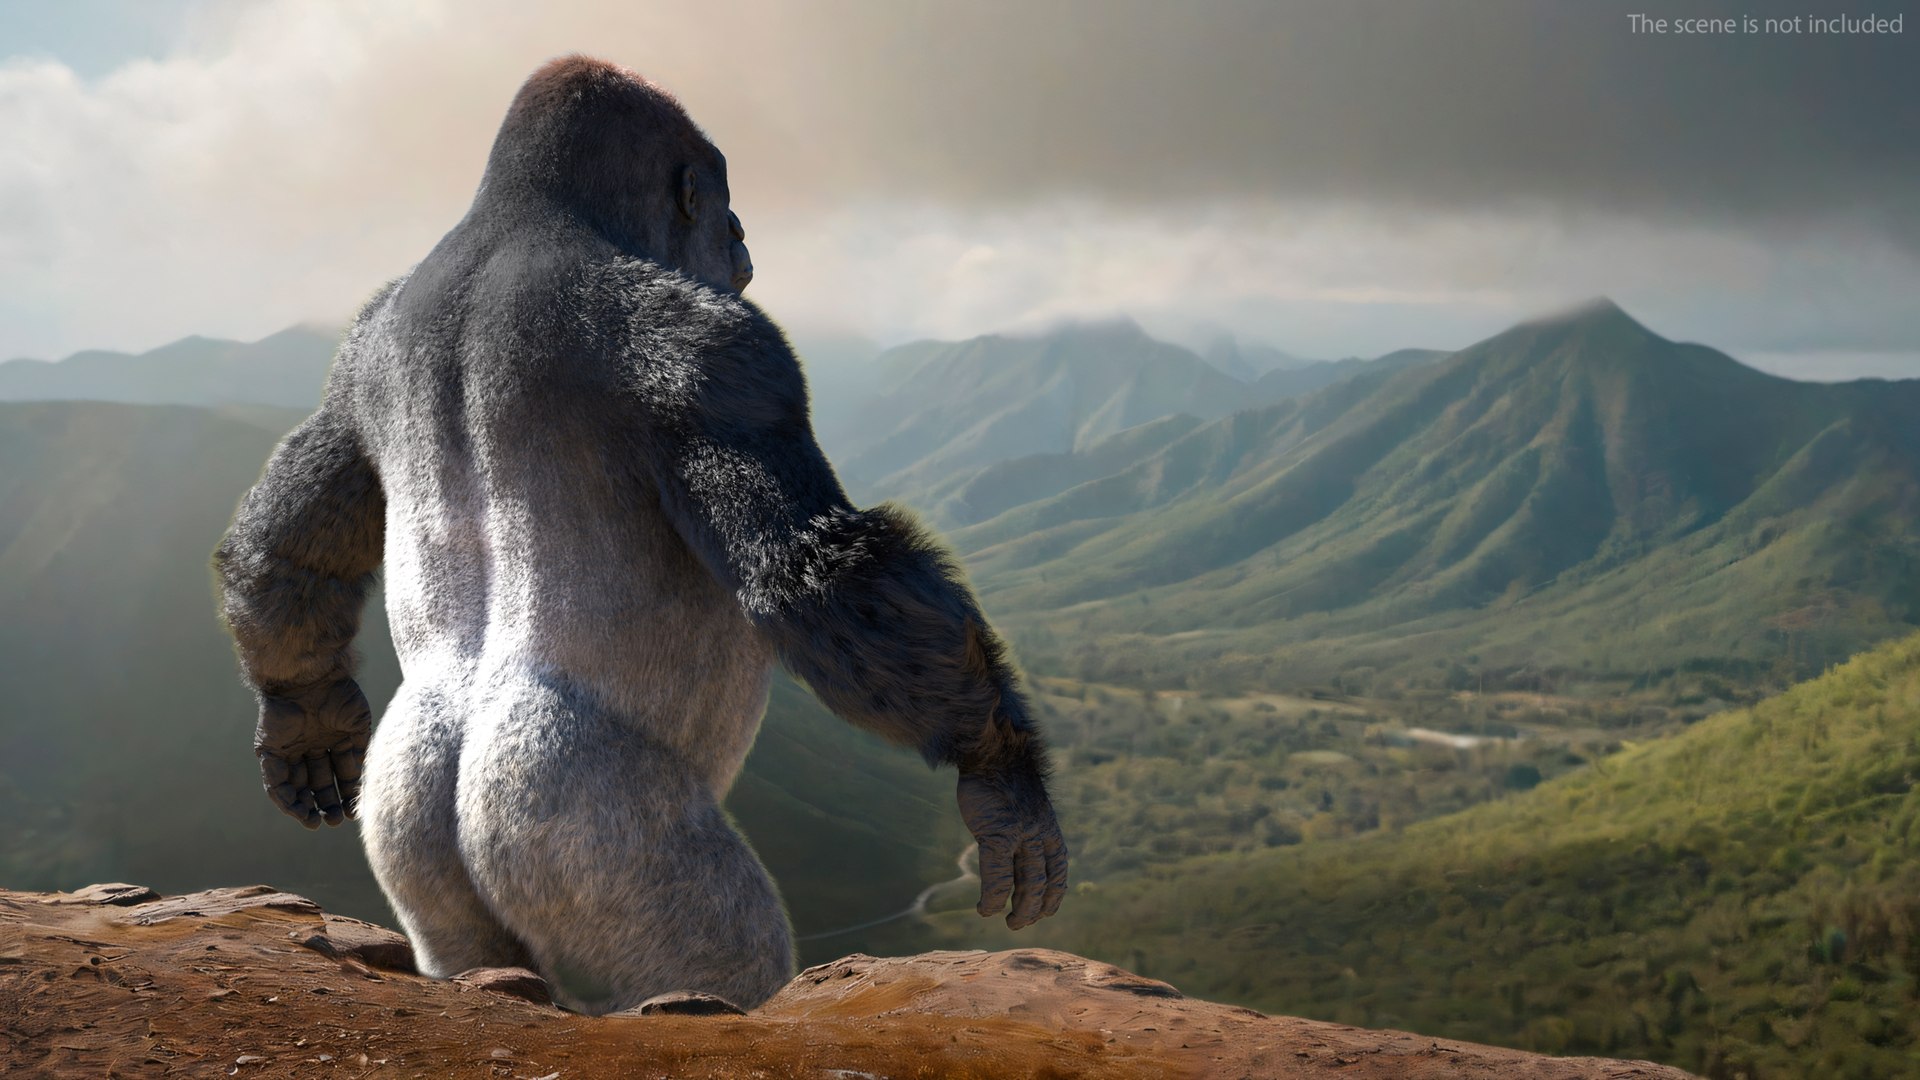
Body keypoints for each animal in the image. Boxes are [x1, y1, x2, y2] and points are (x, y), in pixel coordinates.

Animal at [212, 56, 1067, 1015]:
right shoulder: (719, 347)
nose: (739, 232)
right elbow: (809, 572)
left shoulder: (358, 344)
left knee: (458, 933)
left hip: (410, 830)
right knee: (712, 955)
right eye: (716, 197)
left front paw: (303, 716)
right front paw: (1000, 773)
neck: (521, 216)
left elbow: (291, 539)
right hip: (571, 827)